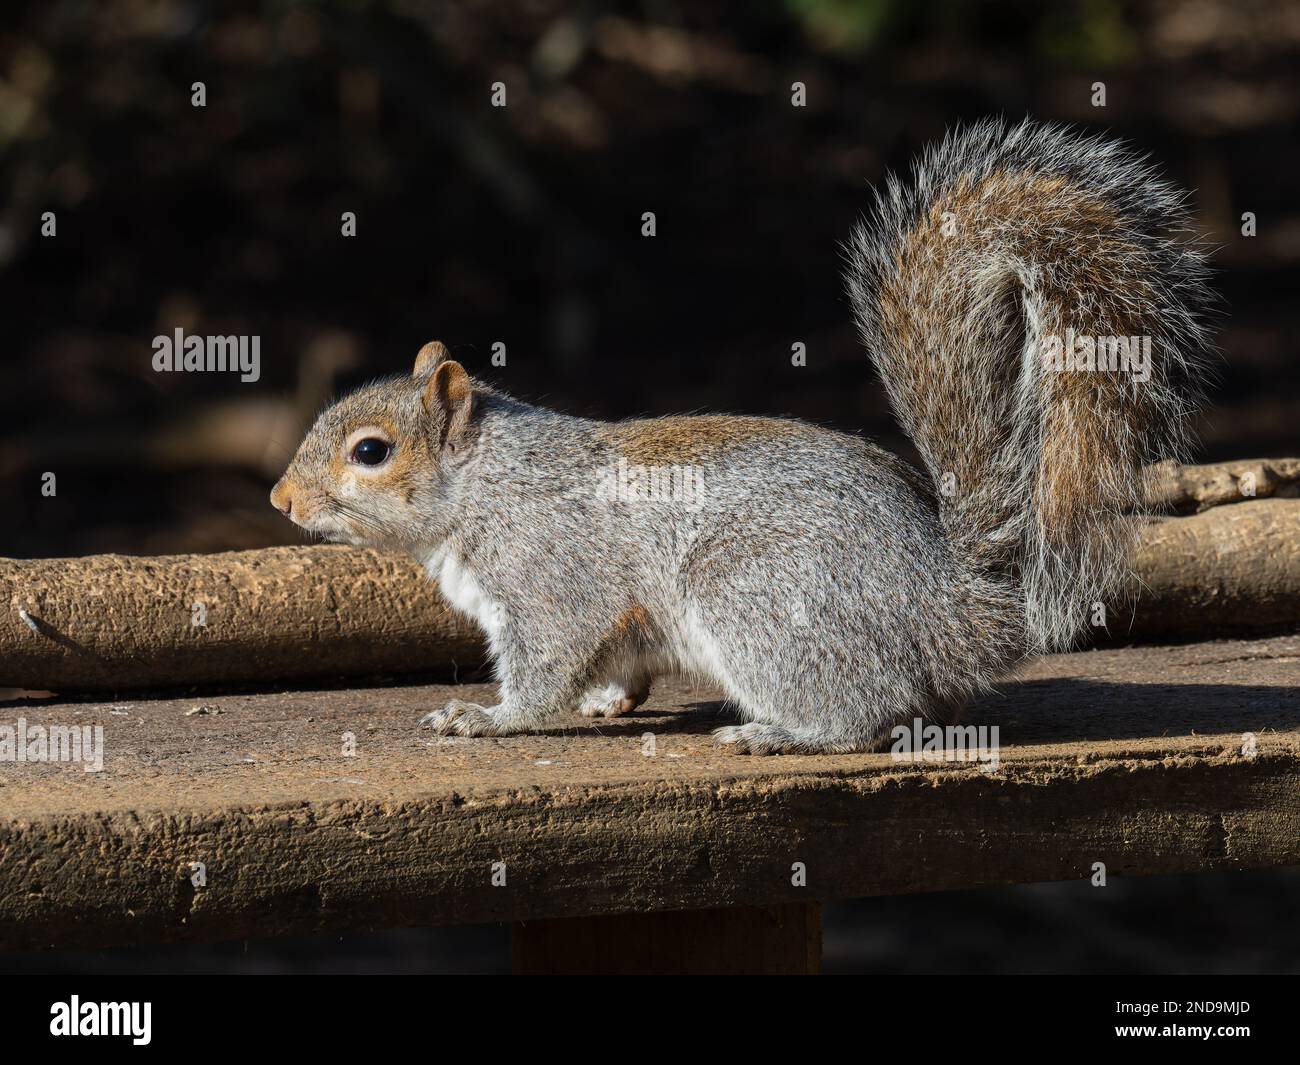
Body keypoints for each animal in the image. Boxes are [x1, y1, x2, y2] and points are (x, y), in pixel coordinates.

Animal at [271, 119, 1213, 755]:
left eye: (370, 451)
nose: (280, 498)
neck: (485, 482)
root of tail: (955, 606)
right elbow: (620, 662)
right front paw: (605, 703)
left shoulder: (551, 577)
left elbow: (547, 662)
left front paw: (488, 717)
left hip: (755, 594)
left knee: (866, 712)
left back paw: (782, 732)